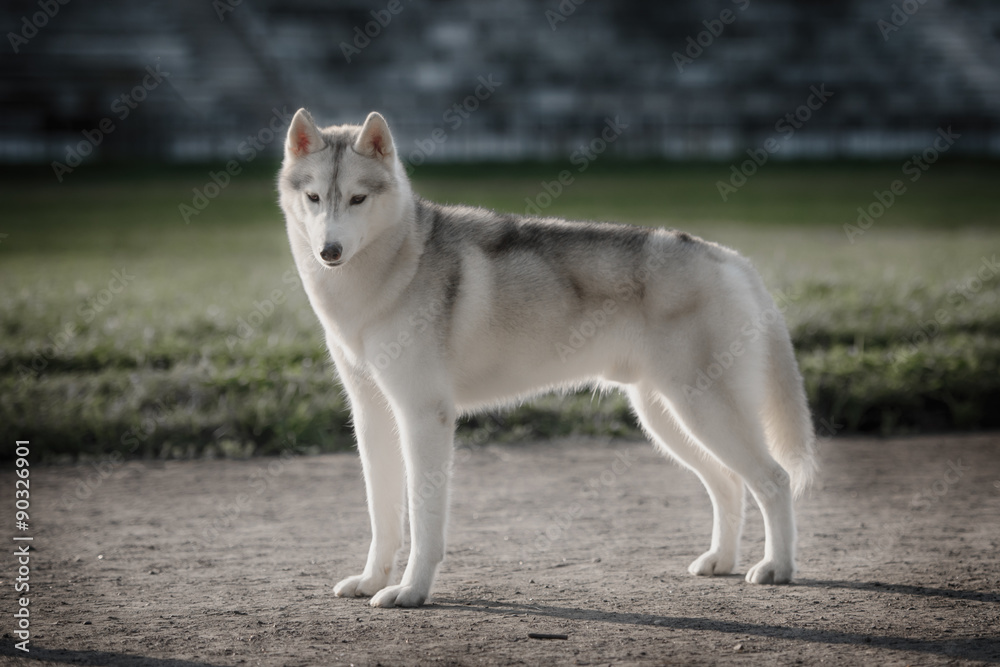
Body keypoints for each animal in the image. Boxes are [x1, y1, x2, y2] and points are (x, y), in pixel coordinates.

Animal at [278, 109, 817, 608]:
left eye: (358, 199)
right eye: (314, 198)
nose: (329, 251)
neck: (392, 269)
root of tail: (729, 257)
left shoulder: (423, 415)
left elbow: (424, 522)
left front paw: (410, 591)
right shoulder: (372, 416)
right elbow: (383, 516)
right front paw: (372, 581)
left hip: (702, 411)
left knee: (772, 480)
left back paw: (777, 567)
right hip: (667, 418)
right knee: (728, 484)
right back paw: (721, 560)